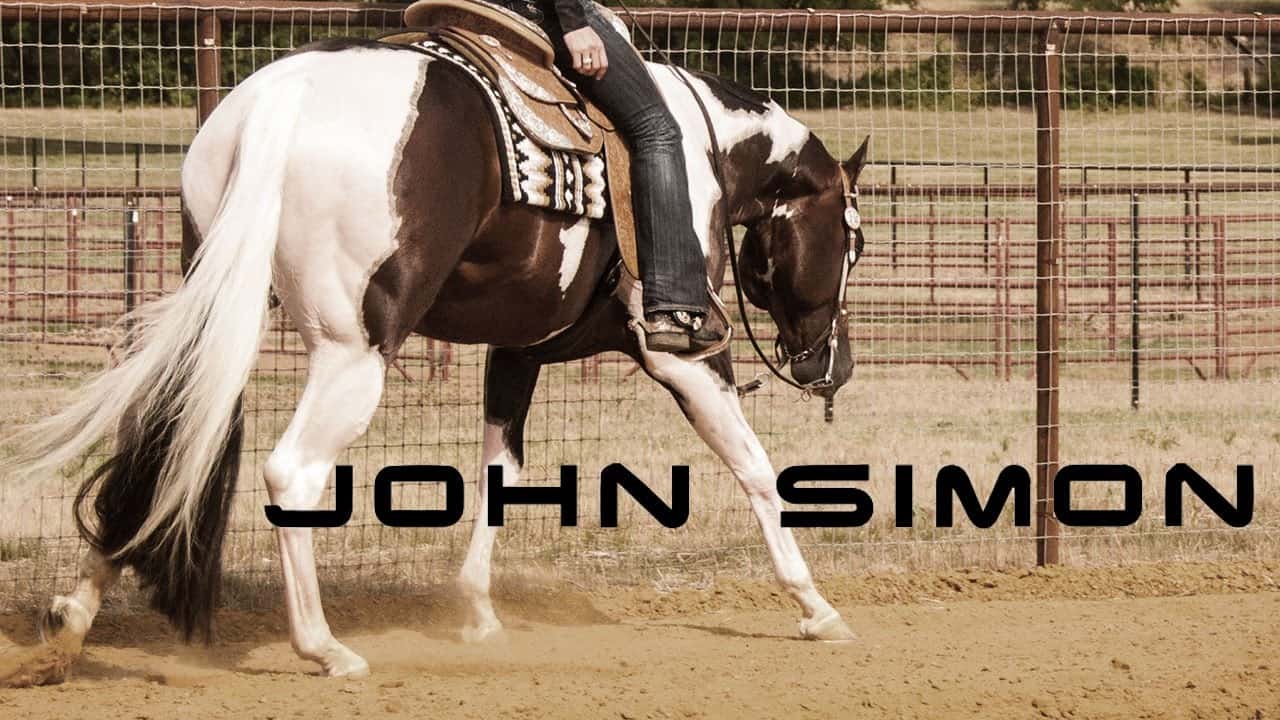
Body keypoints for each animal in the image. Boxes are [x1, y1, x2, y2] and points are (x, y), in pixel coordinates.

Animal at [8, 30, 871, 679]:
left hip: (218, 308)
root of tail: (285, 95)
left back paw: (72, 622)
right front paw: (815, 605)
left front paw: (479, 612)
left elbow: (500, 477)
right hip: (353, 352)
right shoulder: (679, 354)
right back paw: (323, 647)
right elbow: (754, 467)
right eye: (851, 242)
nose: (834, 369)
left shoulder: (517, 351)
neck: (705, 157)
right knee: (290, 472)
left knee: (162, 449)